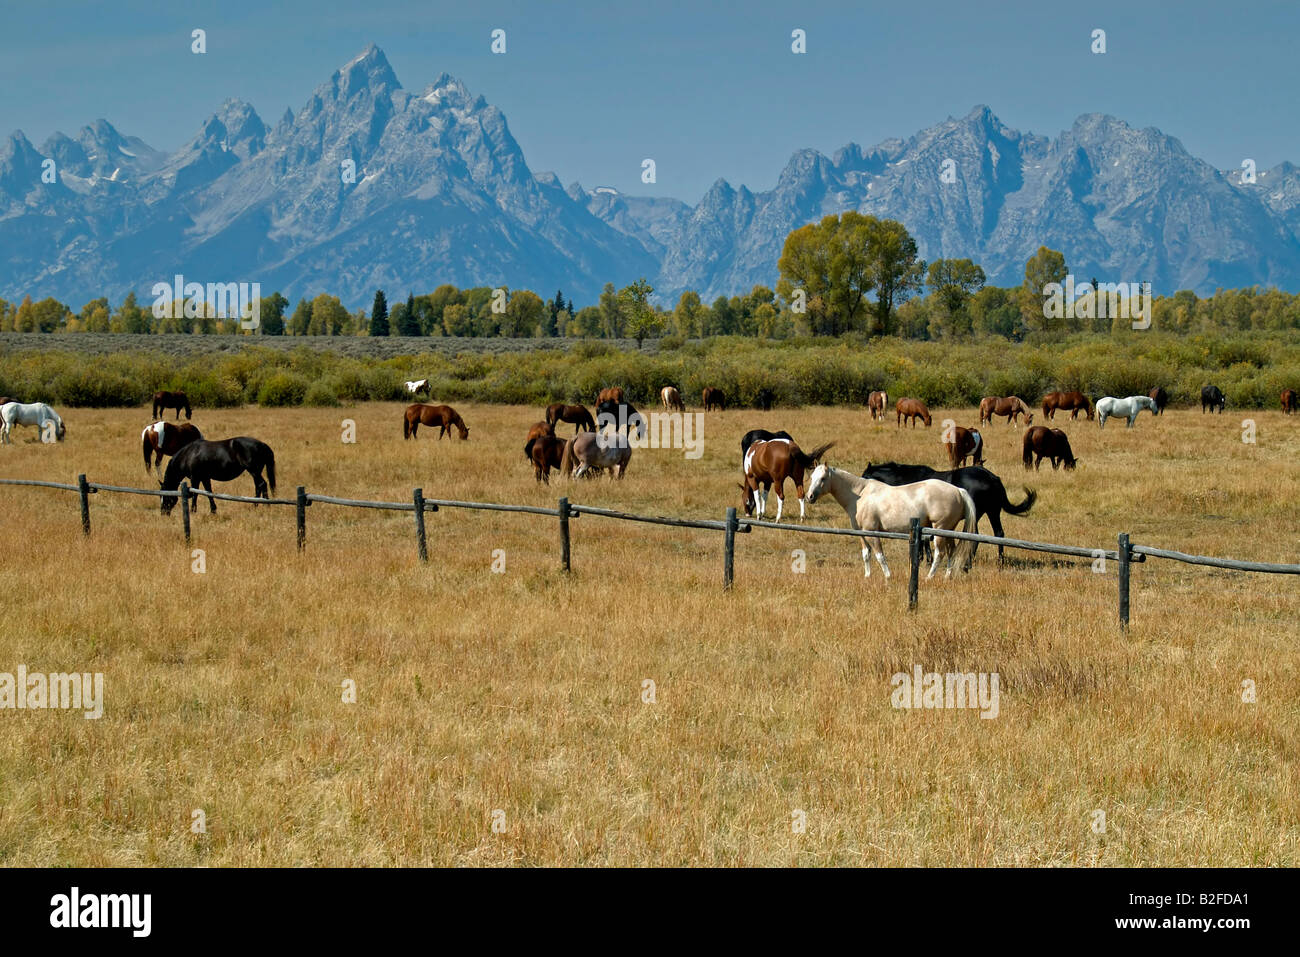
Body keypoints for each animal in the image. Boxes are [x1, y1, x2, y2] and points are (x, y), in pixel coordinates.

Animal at [805, 464, 976, 580]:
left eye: (823, 478)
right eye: (811, 478)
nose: (809, 497)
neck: (860, 495)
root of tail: (958, 490)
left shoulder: (871, 532)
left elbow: (880, 555)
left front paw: (888, 576)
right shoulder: (861, 534)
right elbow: (866, 555)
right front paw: (867, 576)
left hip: (940, 530)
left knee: (940, 554)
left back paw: (929, 577)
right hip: (947, 531)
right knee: (951, 551)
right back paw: (948, 576)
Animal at [862, 462, 1036, 566]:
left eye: (864, 477)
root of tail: (992, 478)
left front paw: (923, 559)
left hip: (977, 514)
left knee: (974, 535)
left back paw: (968, 561)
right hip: (993, 511)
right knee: (998, 533)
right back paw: (999, 561)